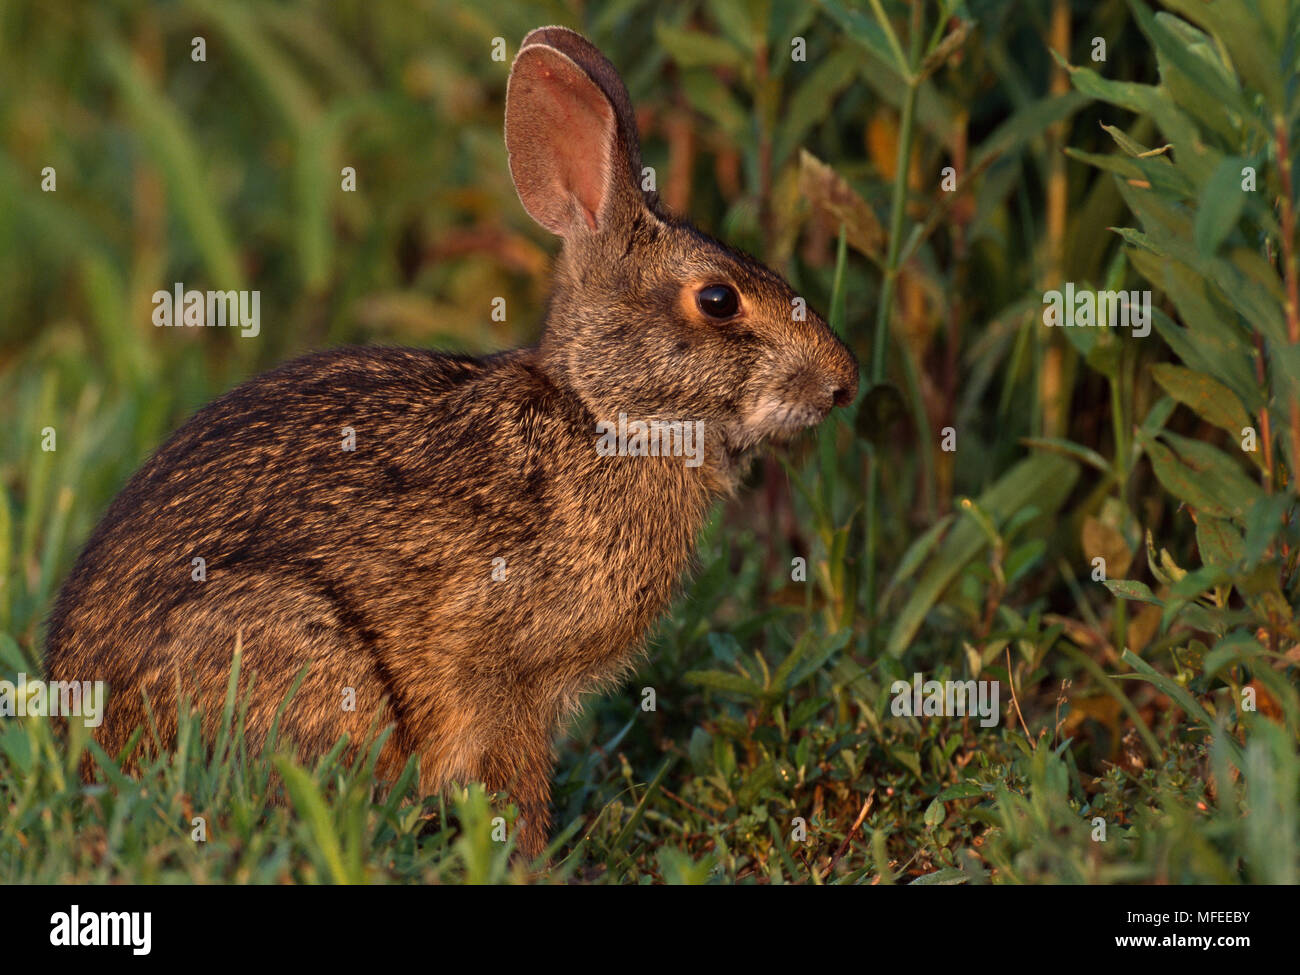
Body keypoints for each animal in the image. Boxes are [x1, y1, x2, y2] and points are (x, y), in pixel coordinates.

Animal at [44, 25, 859, 858]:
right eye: (719, 300)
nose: (843, 382)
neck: (601, 418)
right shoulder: (502, 673)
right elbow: (516, 773)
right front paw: (533, 856)